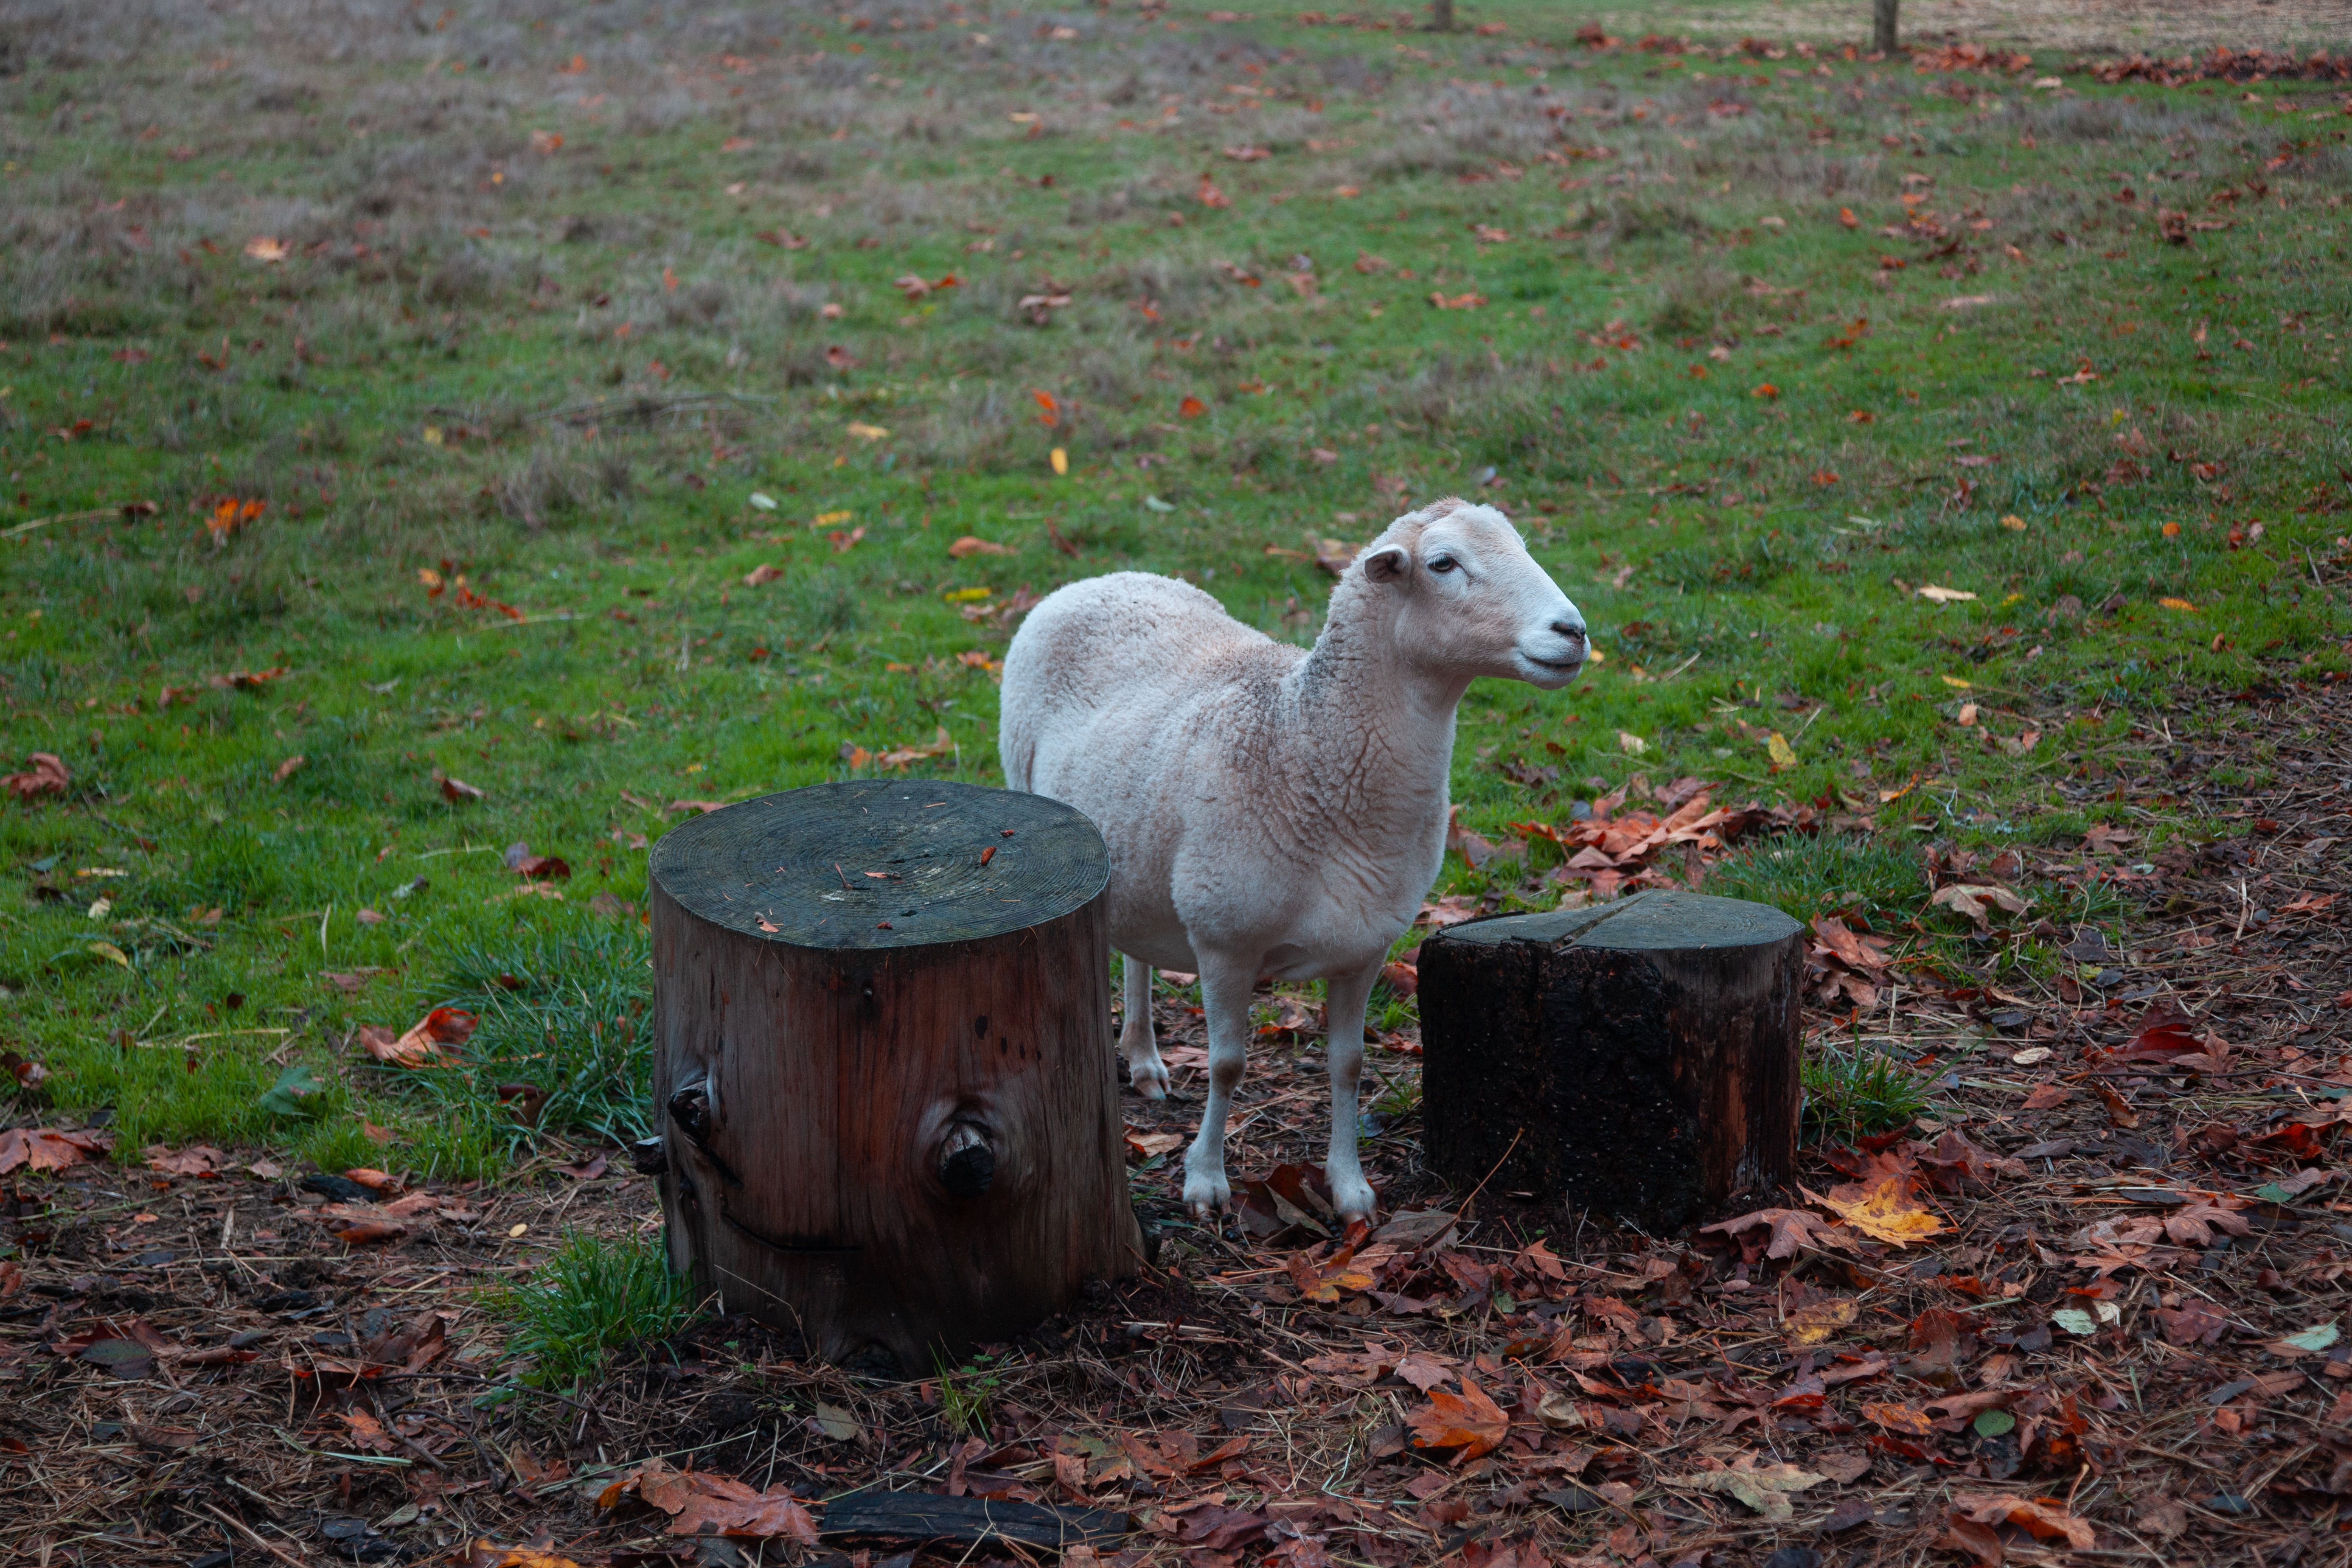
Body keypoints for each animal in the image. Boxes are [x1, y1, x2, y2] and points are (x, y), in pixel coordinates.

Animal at [998, 498, 1588, 1224]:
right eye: (1442, 563)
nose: (1573, 631)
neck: (1304, 740)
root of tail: (1104, 576)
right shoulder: (1224, 939)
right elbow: (1227, 1064)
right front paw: (1206, 1181)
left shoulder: (1366, 946)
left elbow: (1348, 1064)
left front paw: (1350, 1187)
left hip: (1134, 839)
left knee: (1134, 951)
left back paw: (1142, 1055)